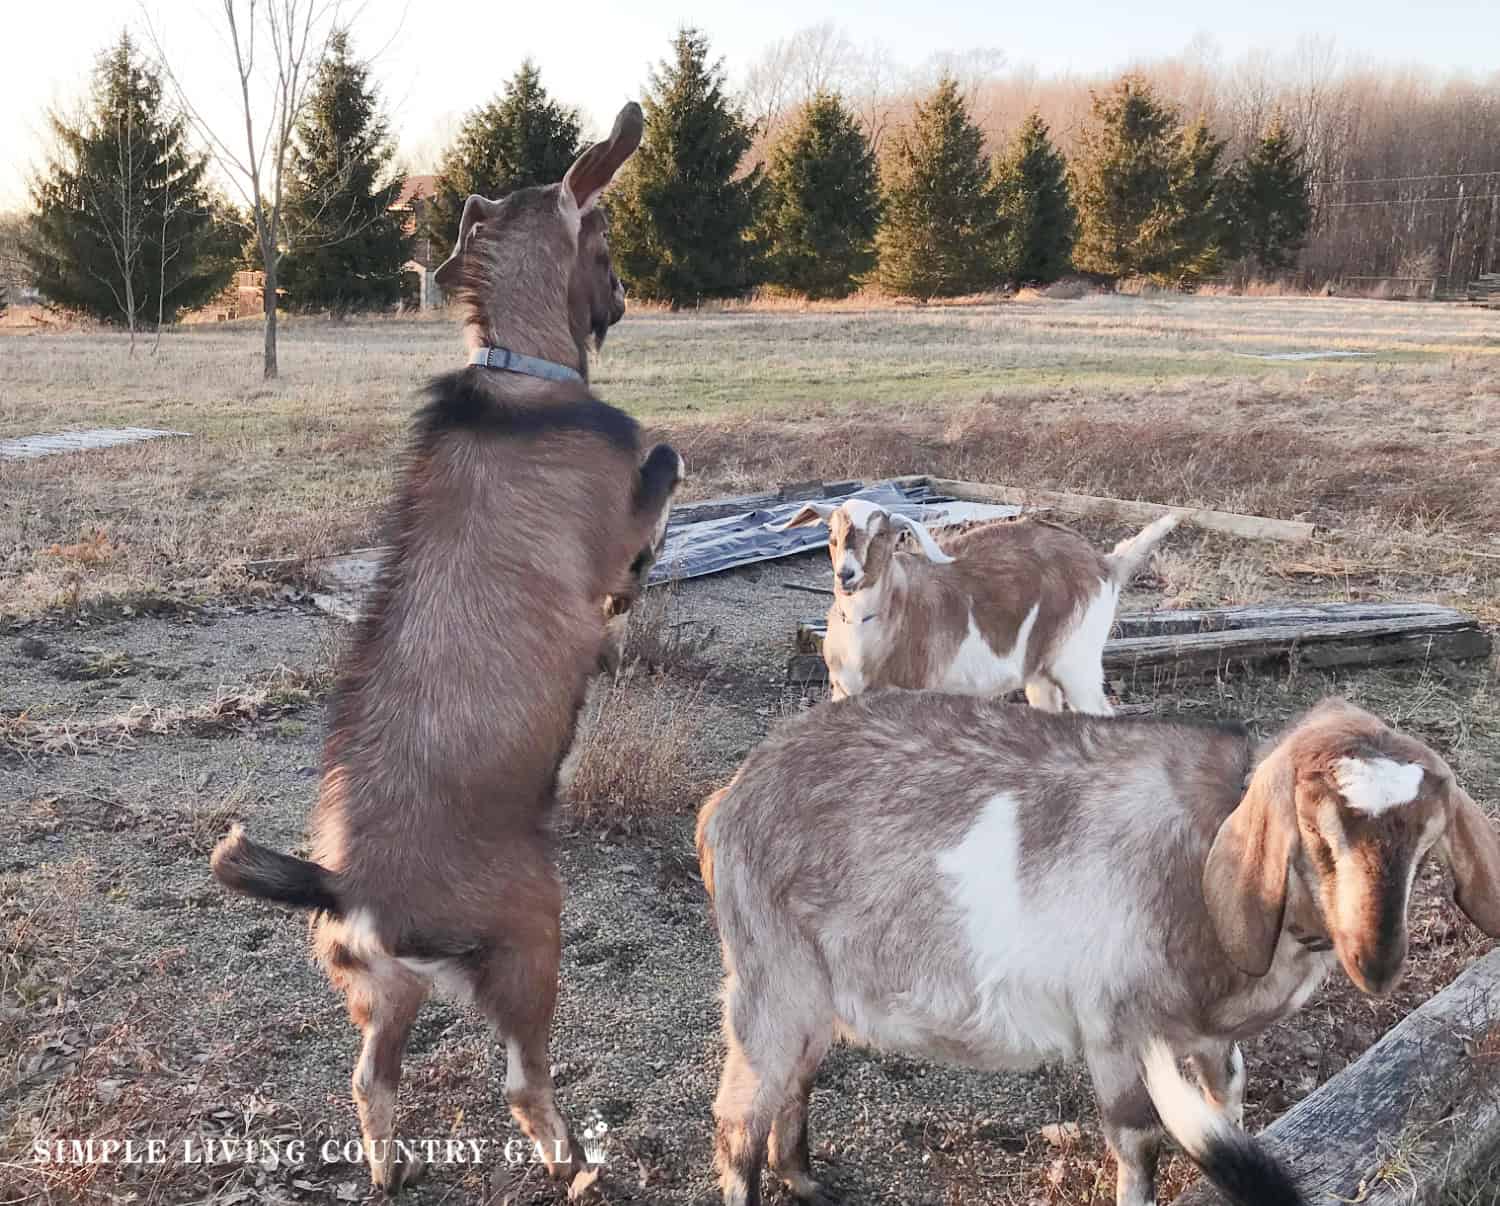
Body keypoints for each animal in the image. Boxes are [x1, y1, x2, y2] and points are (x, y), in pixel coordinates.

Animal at [209, 103, 682, 1196]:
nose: (625, 301)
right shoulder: (616, 528)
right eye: (603, 244)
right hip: (532, 935)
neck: (521, 376)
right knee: (522, 1083)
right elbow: (667, 464)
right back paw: (575, 1168)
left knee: (370, 1081)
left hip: (383, 994)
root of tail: (349, 889)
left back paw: (389, 1171)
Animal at [696, 694, 1500, 1206]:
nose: (1377, 959)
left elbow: (1229, 1095)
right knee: (740, 1117)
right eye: (1316, 832)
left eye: (1426, 841)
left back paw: (806, 1181)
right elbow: (1139, 1143)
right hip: (772, 976)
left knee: (793, 1084)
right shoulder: (1116, 1030)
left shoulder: (1209, 1039)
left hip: (809, 995)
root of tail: (729, 799)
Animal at [774, 500, 1176, 712]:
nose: (847, 574)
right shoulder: (843, 692)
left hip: (1077, 662)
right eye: (830, 536)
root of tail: (1106, 563)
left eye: (882, 536)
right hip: (1040, 672)